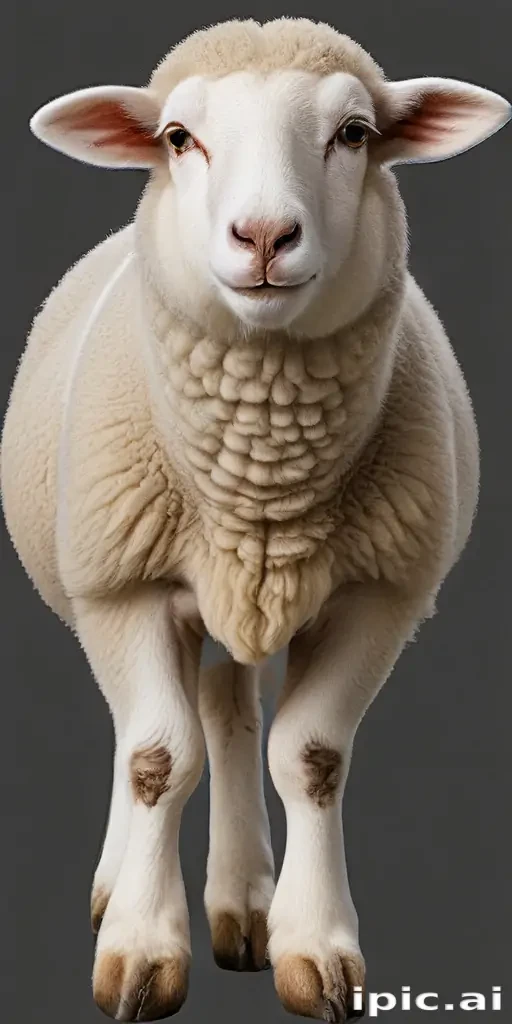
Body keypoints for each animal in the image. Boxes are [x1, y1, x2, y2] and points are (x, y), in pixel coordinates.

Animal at [1, 14, 510, 1023]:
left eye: (354, 133)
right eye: (176, 138)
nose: (265, 235)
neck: (262, 486)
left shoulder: (379, 599)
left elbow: (308, 757)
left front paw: (314, 948)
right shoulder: (123, 590)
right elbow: (155, 760)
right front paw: (139, 950)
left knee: (229, 712)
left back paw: (244, 903)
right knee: (156, 732)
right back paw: (119, 887)